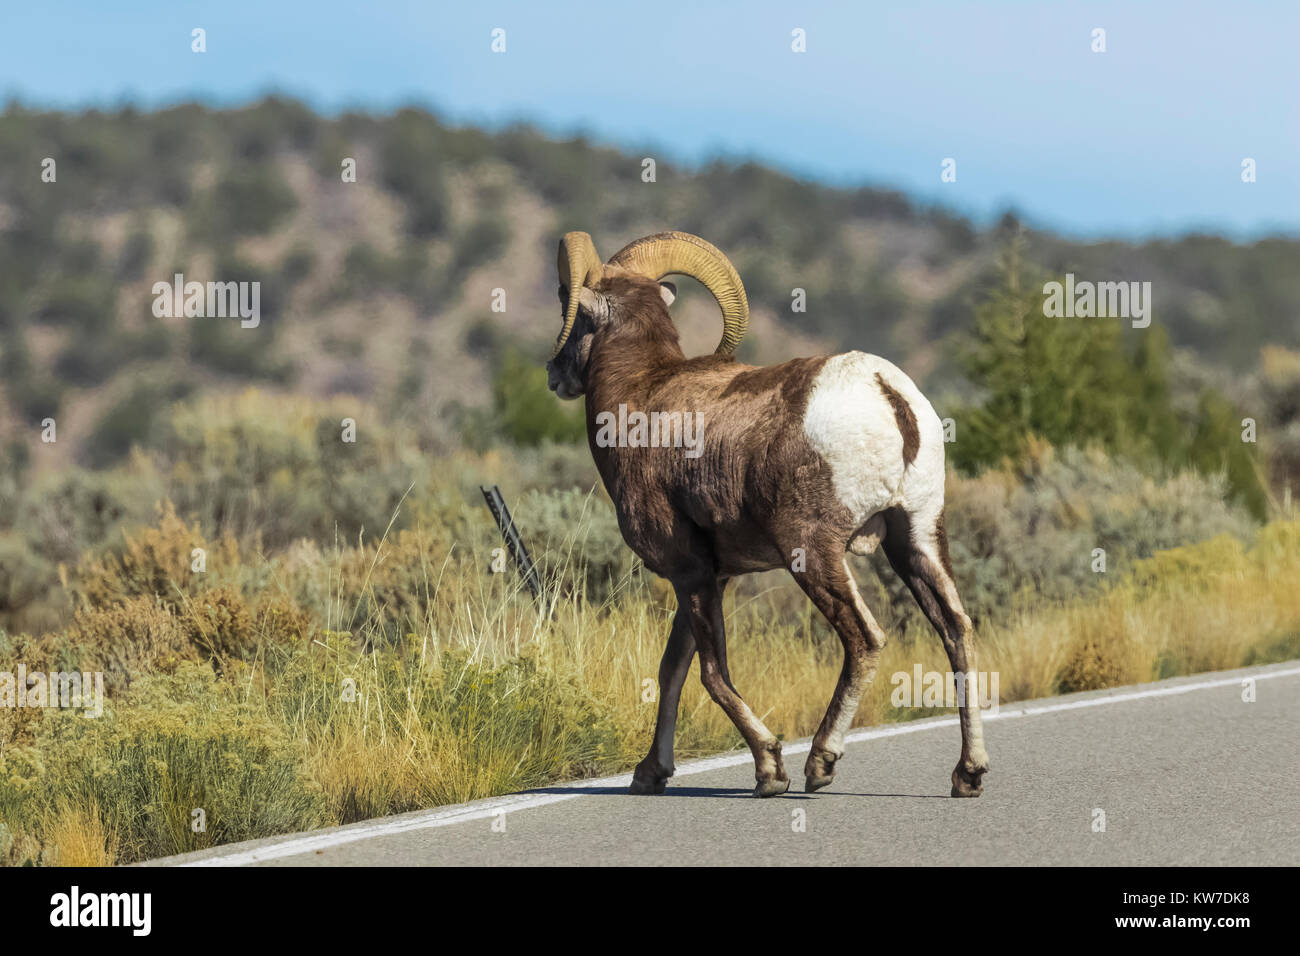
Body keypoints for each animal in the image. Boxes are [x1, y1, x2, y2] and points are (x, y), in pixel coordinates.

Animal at [545, 230, 990, 798]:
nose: (554, 375)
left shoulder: (689, 570)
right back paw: (968, 774)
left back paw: (819, 764)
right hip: (916, 539)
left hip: (814, 553)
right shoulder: (711, 575)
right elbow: (673, 669)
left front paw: (769, 770)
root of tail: (887, 394)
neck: (639, 398)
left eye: (570, 306)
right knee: (957, 629)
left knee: (864, 638)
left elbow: (712, 674)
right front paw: (650, 774)